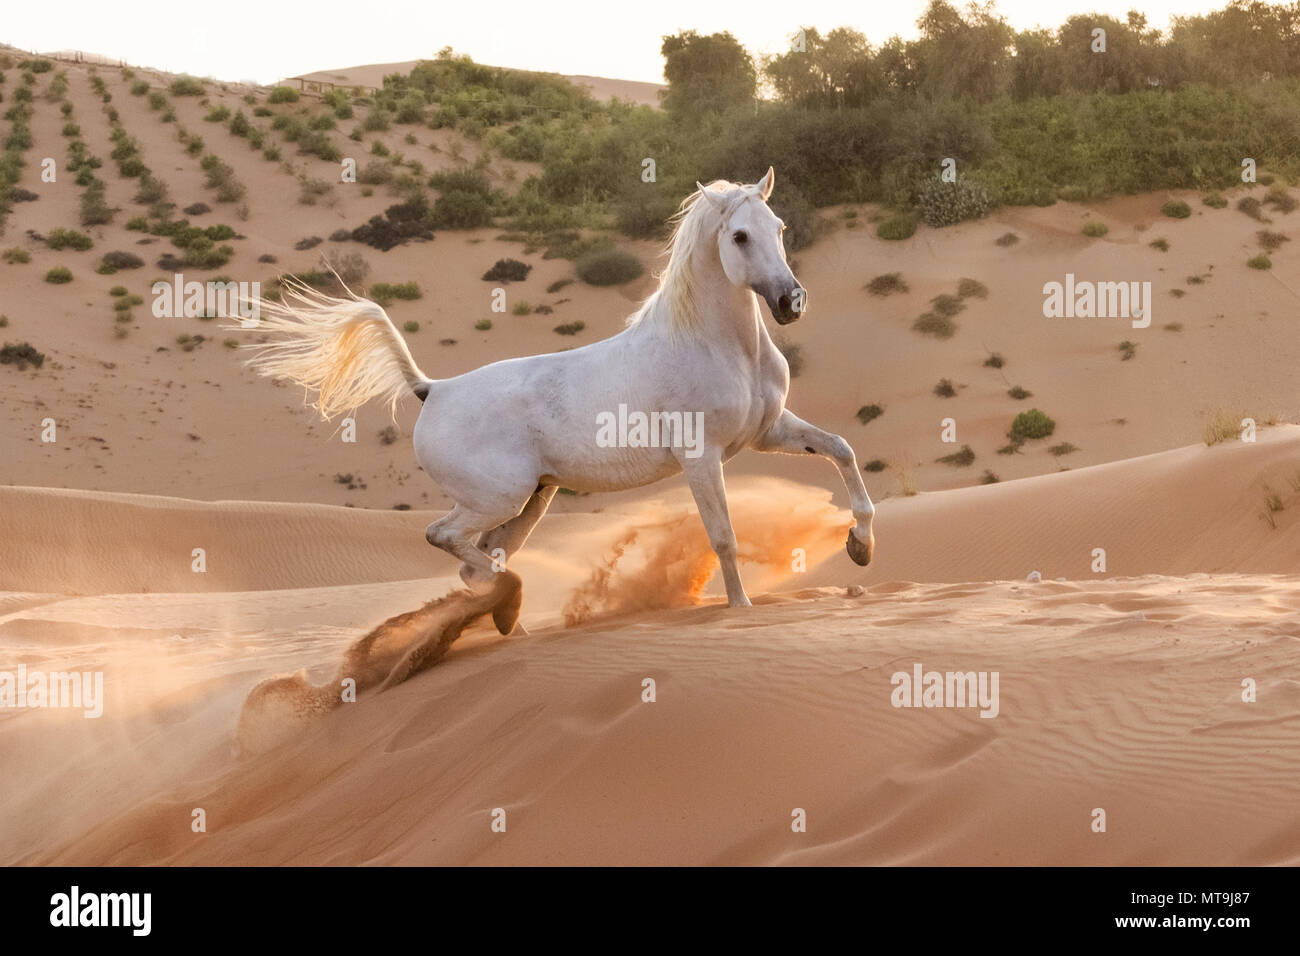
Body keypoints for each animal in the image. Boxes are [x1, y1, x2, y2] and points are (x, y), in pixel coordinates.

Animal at [242, 167, 876, 636]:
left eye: (779, 226)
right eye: (740, 236)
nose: (792, 301)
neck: (718, 345)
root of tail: (433, 390)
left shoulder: (769, 432)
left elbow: (841, 450)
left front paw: (860, 546)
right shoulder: (702, 458)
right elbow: (723, 536)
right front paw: (741, 611)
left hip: (530, 503)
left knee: (479, 564)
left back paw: (510, 627)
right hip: (497, 498)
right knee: (447, 540)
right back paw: (509, 607)